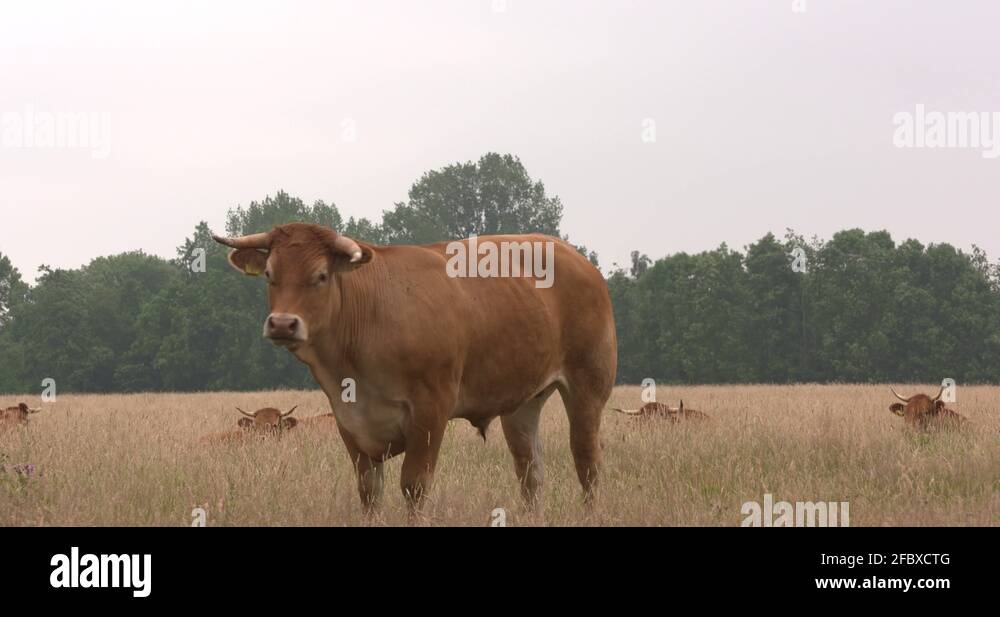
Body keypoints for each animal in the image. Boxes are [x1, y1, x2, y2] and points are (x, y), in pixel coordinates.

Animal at [213, 223, 616, 514]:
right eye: (269, 274)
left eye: (321, 276)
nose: (282, 324)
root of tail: (574, 256)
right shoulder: (348, 418)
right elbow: (369, 490)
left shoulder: (430, 412)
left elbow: (414, 485)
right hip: (521, 403)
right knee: (530, 471)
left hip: (588, 388)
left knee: (587, 462)